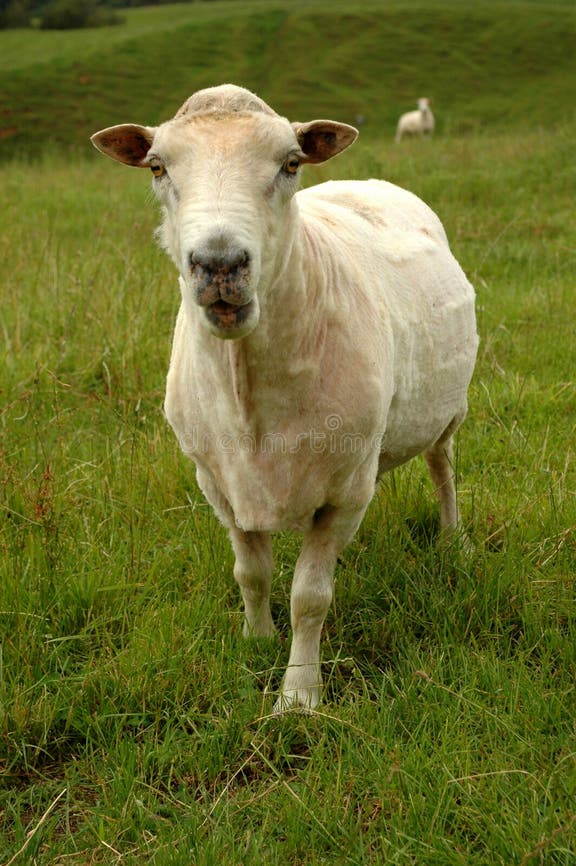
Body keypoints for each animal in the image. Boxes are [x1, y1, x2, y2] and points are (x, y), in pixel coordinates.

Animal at [91, 84, 478, 711]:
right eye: (157, 167)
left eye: (290, 164)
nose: (219, 264)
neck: (247, 382)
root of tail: (367, 180)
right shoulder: (218, 482)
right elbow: (250, 574)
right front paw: (257, 641)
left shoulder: (344, 492)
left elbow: (310, 596)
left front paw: (298, 695)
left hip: (447, 412)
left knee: (443, 469)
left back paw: (454, 540)